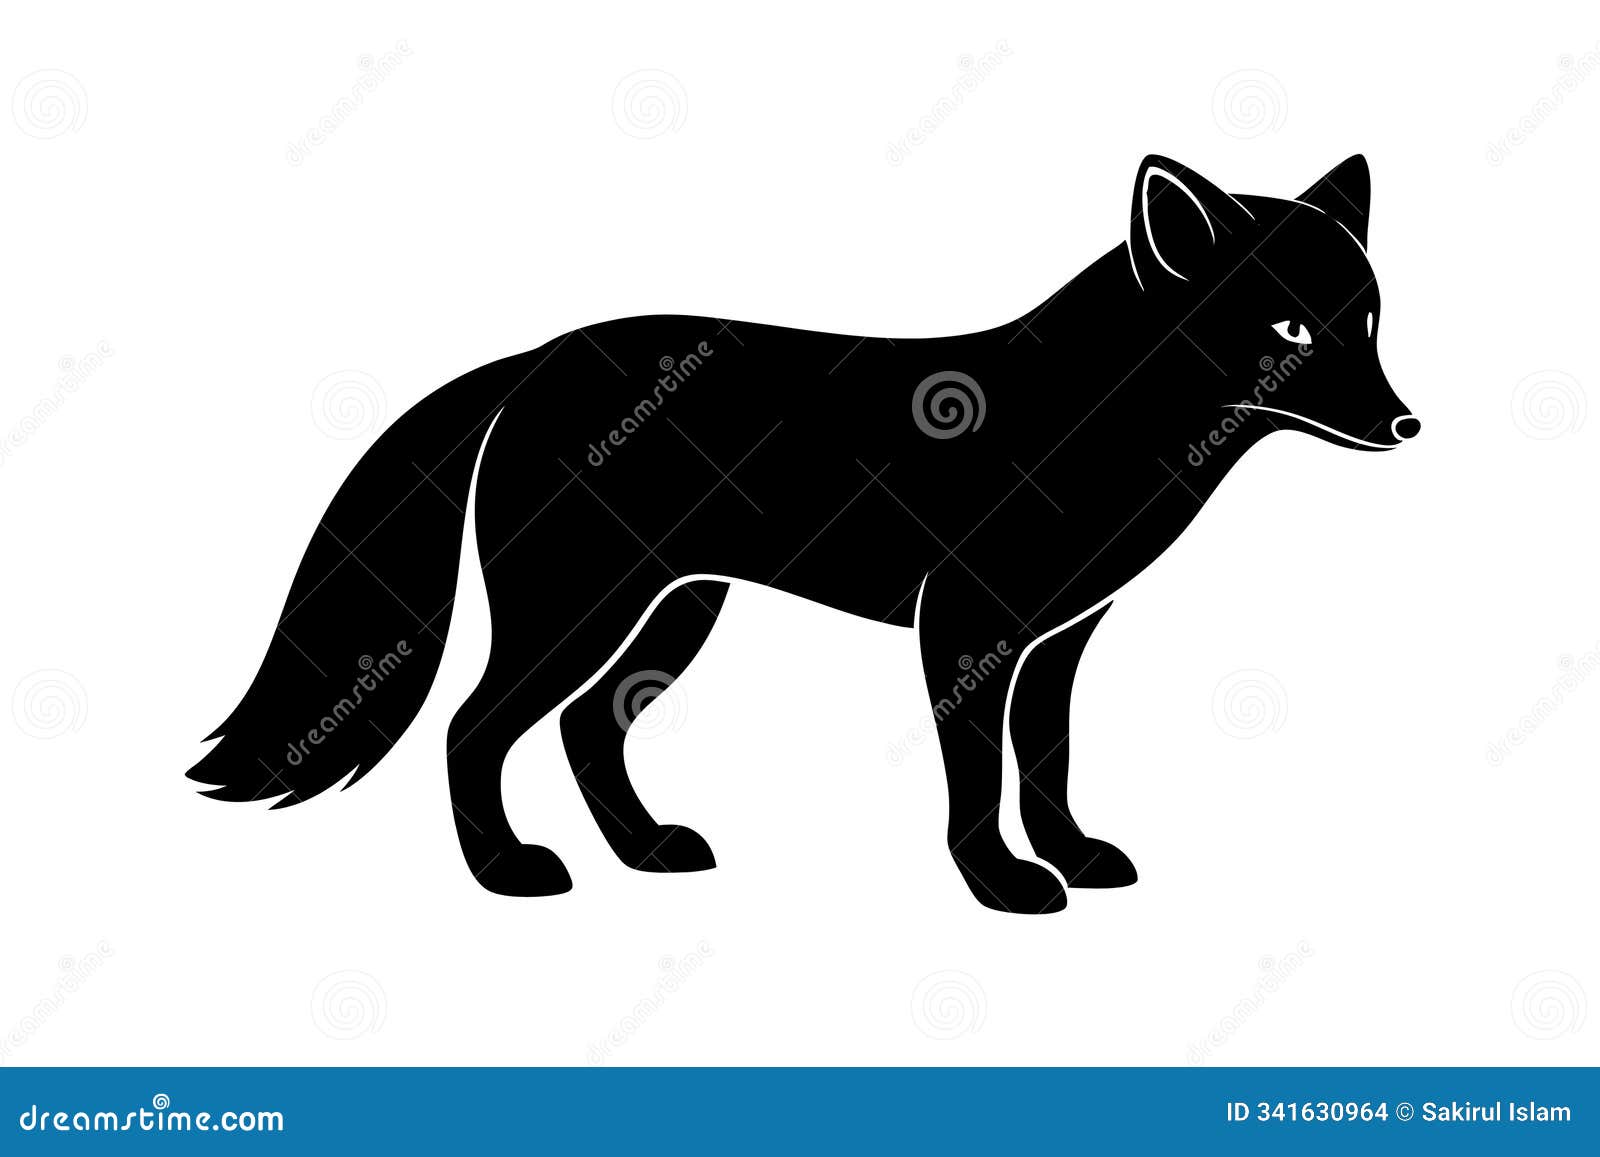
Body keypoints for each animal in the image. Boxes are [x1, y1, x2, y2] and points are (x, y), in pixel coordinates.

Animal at [188, 154, 1417, 914]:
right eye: (1288, 327)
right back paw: (511, 873)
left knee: (587, 724)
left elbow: (1048, 758)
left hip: (674, 609)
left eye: (1367, 319)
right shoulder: (963, 625)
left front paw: (1073, 857)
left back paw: (648, 850)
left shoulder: (1063, 636)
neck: (1094, 418)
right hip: (576, 605)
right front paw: (1005, 886)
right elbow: (976, 776)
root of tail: (535, 358)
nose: (1406, 422)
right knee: (471, 727)